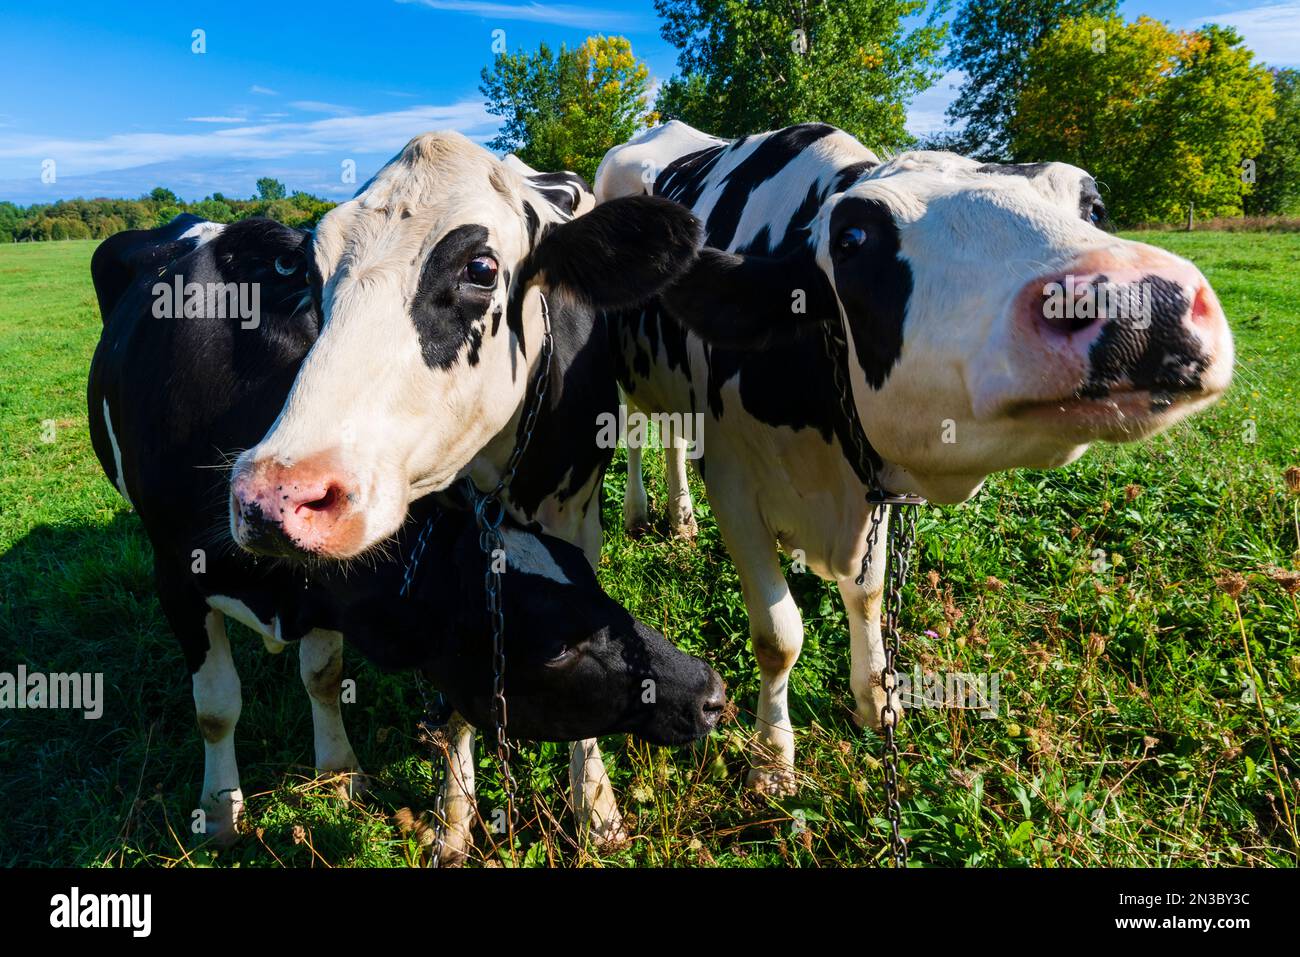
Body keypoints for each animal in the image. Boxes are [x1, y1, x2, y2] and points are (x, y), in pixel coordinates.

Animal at [88, 214, 725, 858]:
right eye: (555, 648)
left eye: (589, 578)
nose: (711, 692)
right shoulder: (174, 574)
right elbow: (217, 707)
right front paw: (220, 813)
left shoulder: (323, 583)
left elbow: (321, 676)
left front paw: (338, 771)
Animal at [224, 132, 708, 853]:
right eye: (312, 275)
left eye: (481, 268)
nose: (276, 493)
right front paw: (452, 822)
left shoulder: (573, 522)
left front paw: (596, 809)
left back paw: (666, 514)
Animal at [595, 121, 1233, 794]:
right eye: (852, 239)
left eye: (1094, 208)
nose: (1142, 300)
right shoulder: (736, 486)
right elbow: (778, 636)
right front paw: (773, 760)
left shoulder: (872, 495)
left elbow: (868, 594)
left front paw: (875, 700)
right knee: (635, 430)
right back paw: (641, 512)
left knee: (671, 437)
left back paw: (681, 520)